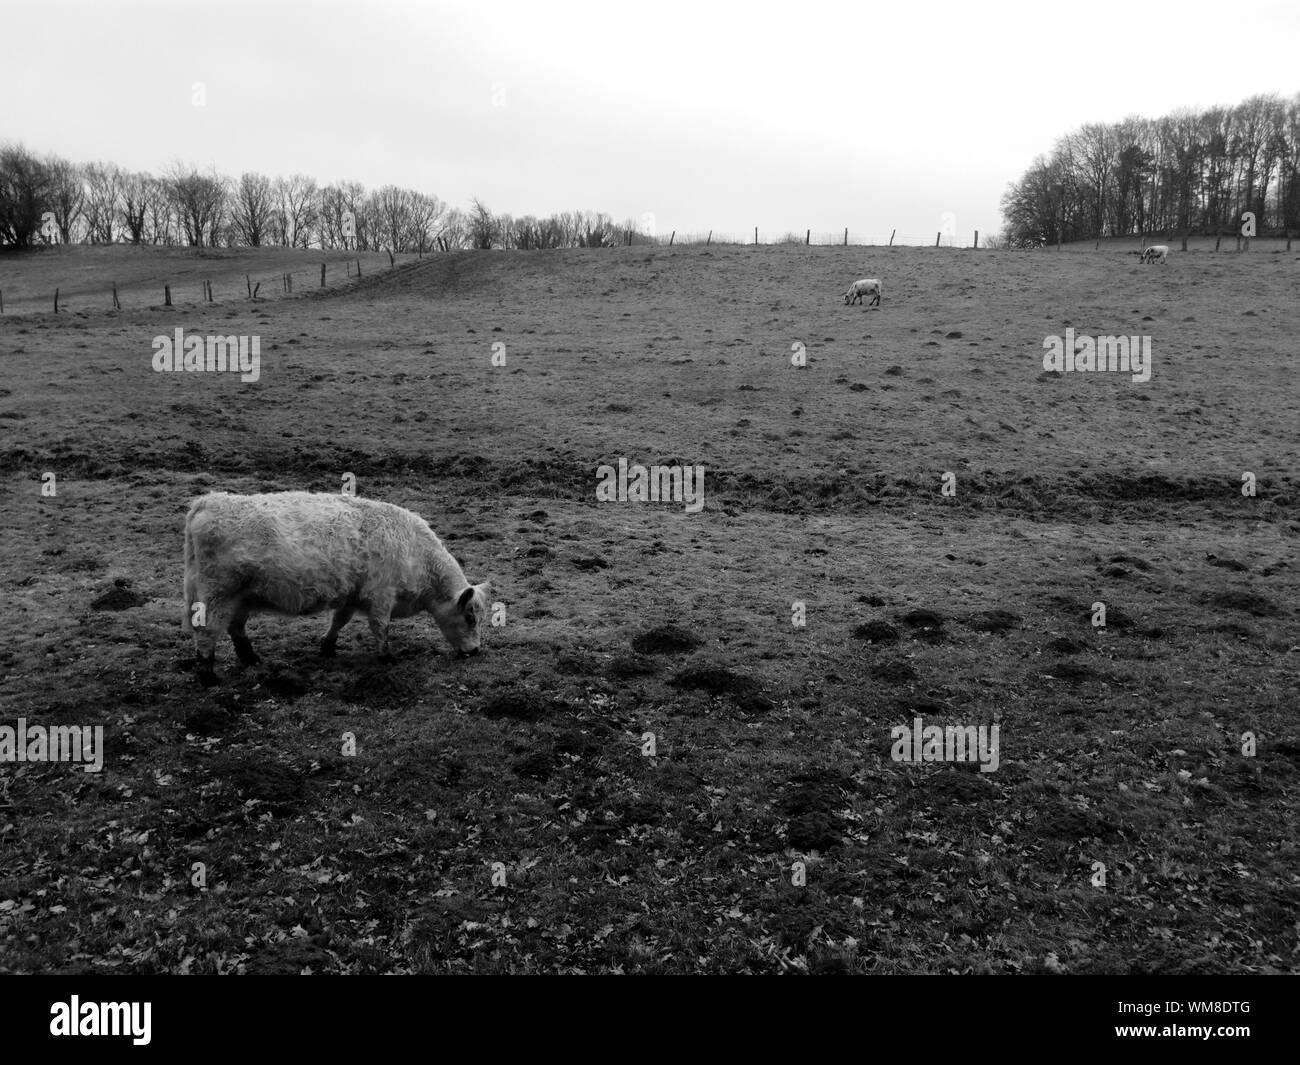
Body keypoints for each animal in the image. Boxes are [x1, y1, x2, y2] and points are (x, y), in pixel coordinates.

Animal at [182, 491, 492, 685]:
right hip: (217, 596)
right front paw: (387, 657)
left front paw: (327, 647)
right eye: (470, 617)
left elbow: (339, 621)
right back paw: (208, 675)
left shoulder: (353, 596)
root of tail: (208, 501)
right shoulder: (381, 597)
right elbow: (381, 628)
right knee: (208, 632)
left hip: (240, 598)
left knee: (236, 628)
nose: (476, 650)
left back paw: (252, 659)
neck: (414, 551)